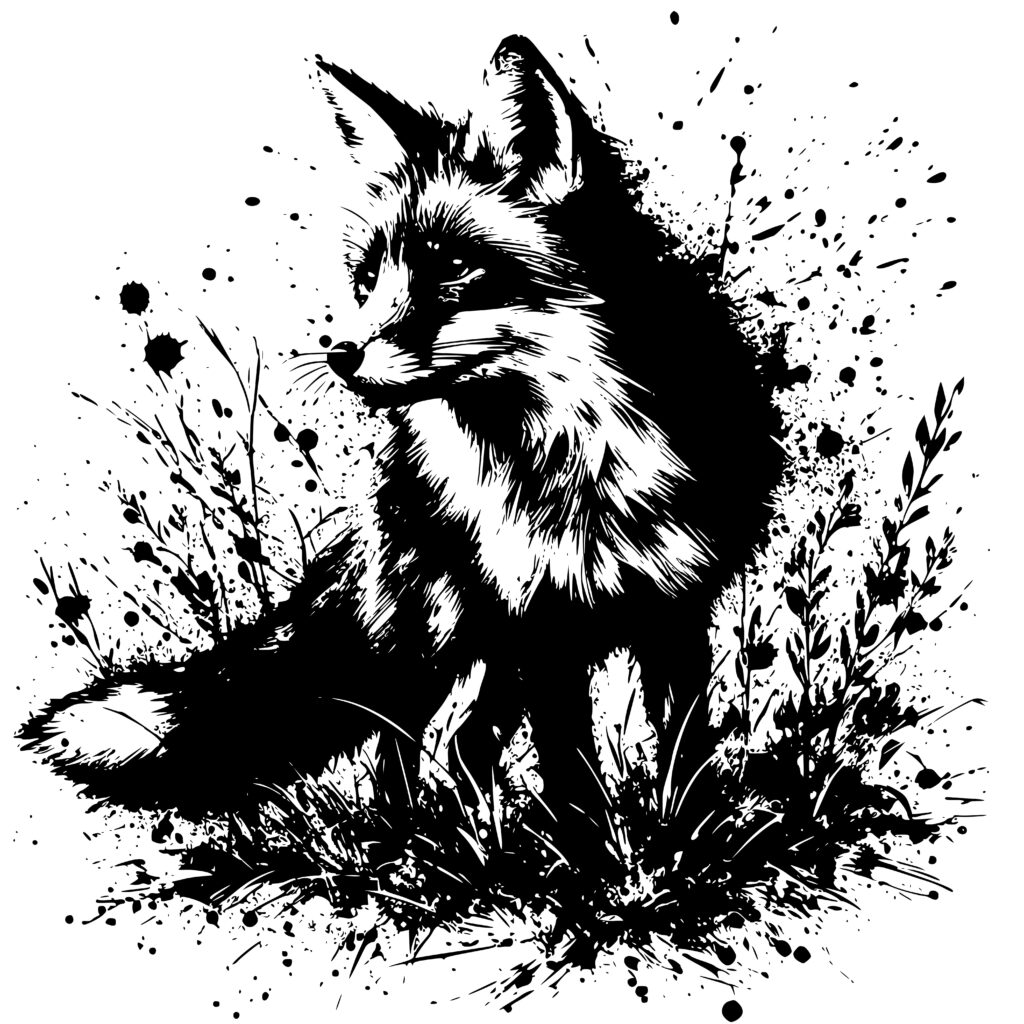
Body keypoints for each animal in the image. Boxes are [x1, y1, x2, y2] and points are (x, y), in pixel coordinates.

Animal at [20, 37, 785, 861]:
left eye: (451, 268)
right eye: (366, 278)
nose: (341, 354)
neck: (578, 466)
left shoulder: (676, 606)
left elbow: (684, 750)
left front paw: (684, 848)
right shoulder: (546, 631)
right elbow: (571, 770)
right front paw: (592, 867)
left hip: (488, 641)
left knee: (466, 744)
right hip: (436, 633)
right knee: (402, 738)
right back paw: (407, 850)